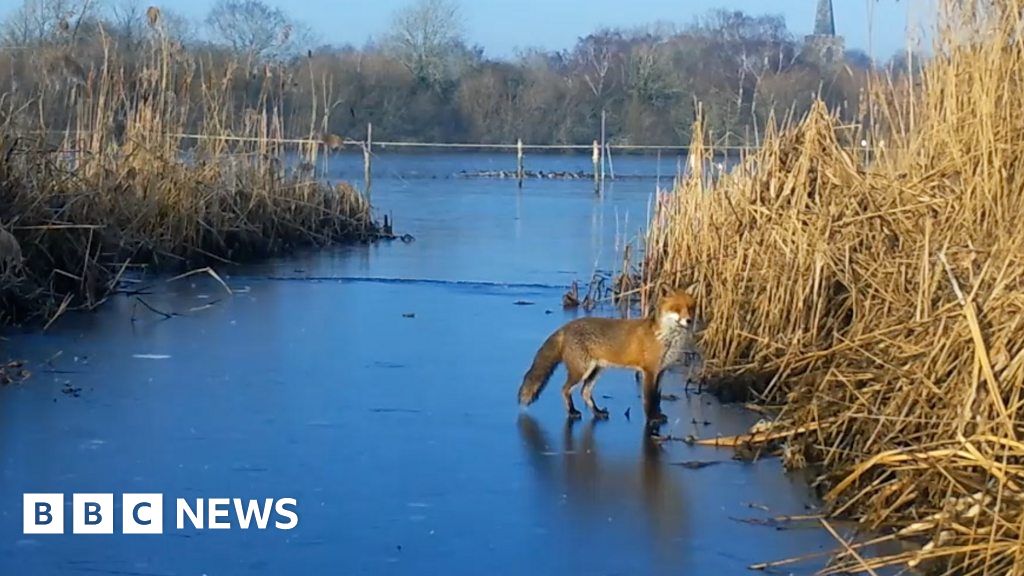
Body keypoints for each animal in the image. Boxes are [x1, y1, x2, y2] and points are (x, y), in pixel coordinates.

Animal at [518, 290, 698, 425]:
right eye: (676, 308)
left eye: (690, 308)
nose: (689, 320)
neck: (668, 339)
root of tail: (566, 326)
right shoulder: (649, 371)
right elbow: (649, 399)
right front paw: (652, 419)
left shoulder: (661, 372)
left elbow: (657, 399)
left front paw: (658, 416)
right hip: (581, 371)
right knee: (565, 389)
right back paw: (572, 412)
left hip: (596, 370)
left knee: (584, 392)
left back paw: (597, 412)